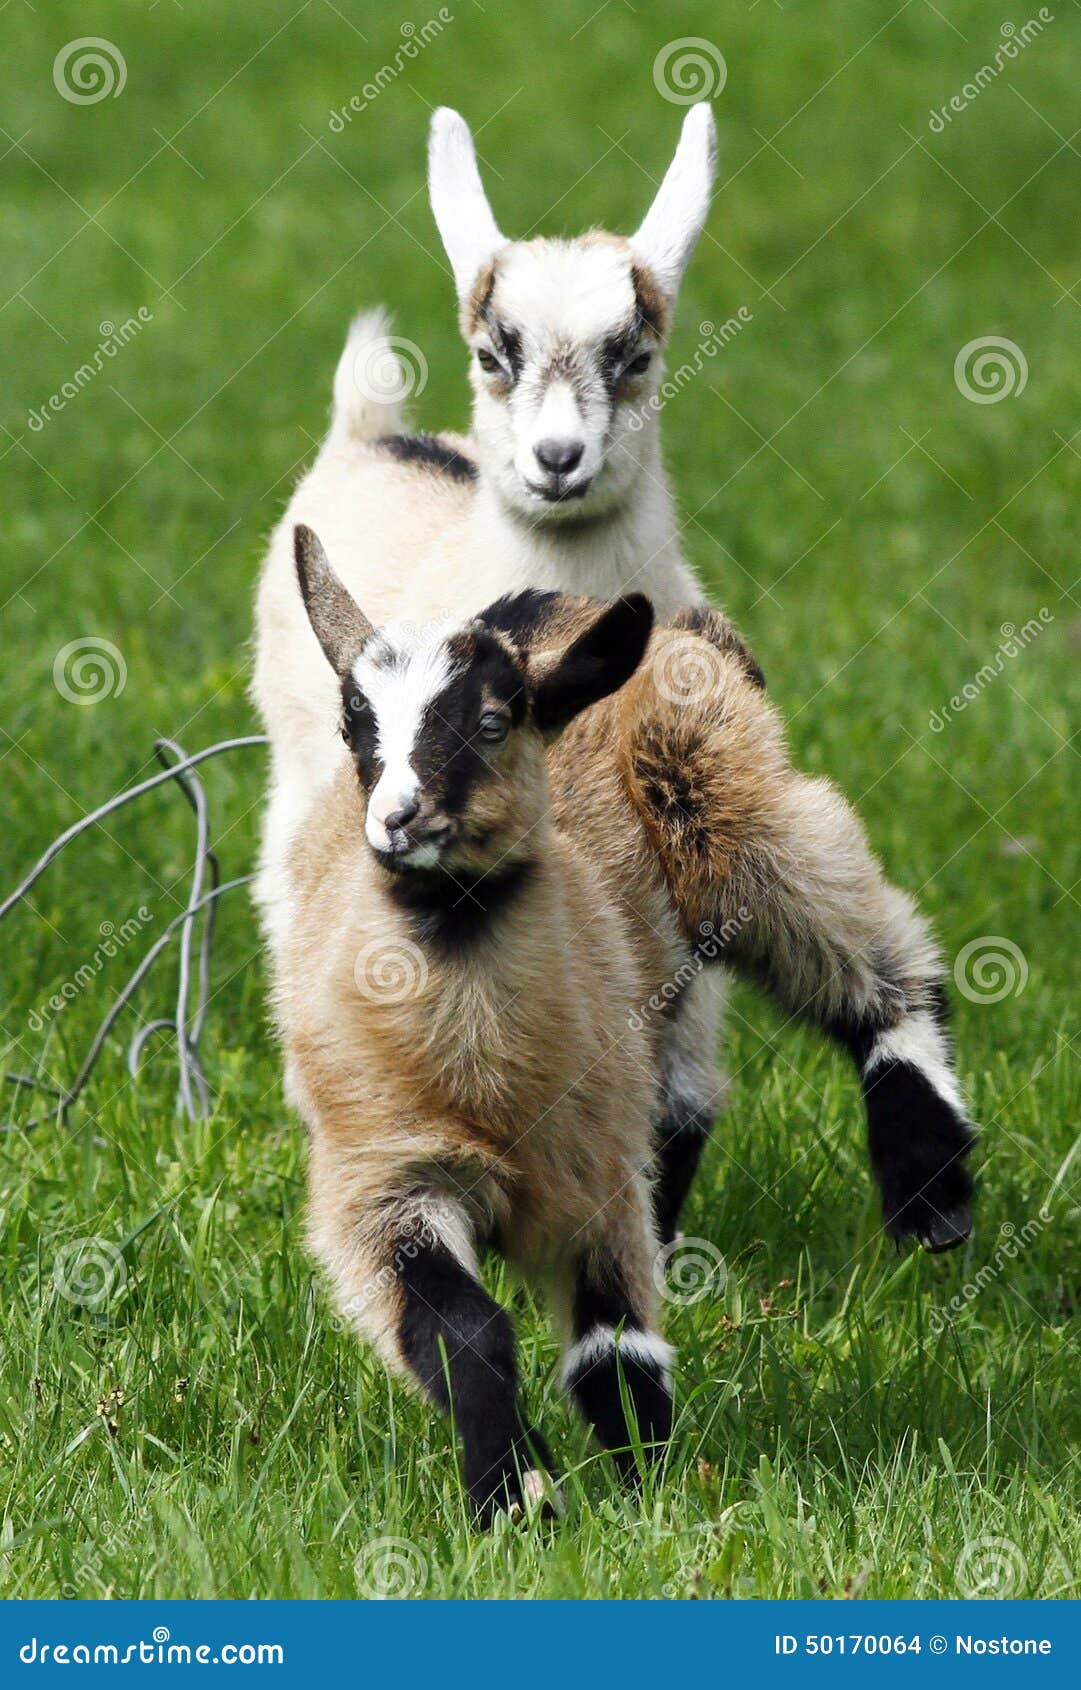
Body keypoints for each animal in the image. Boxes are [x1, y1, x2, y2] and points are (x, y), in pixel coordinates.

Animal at [281, 526, 674, 1523]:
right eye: (355, 725)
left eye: (494, 723)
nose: (397, 820)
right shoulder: (383, 1181)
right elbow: (466, 1331)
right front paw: (516, 1498)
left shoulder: (601, 1185)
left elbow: (617, 1355)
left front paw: (650, 1491)